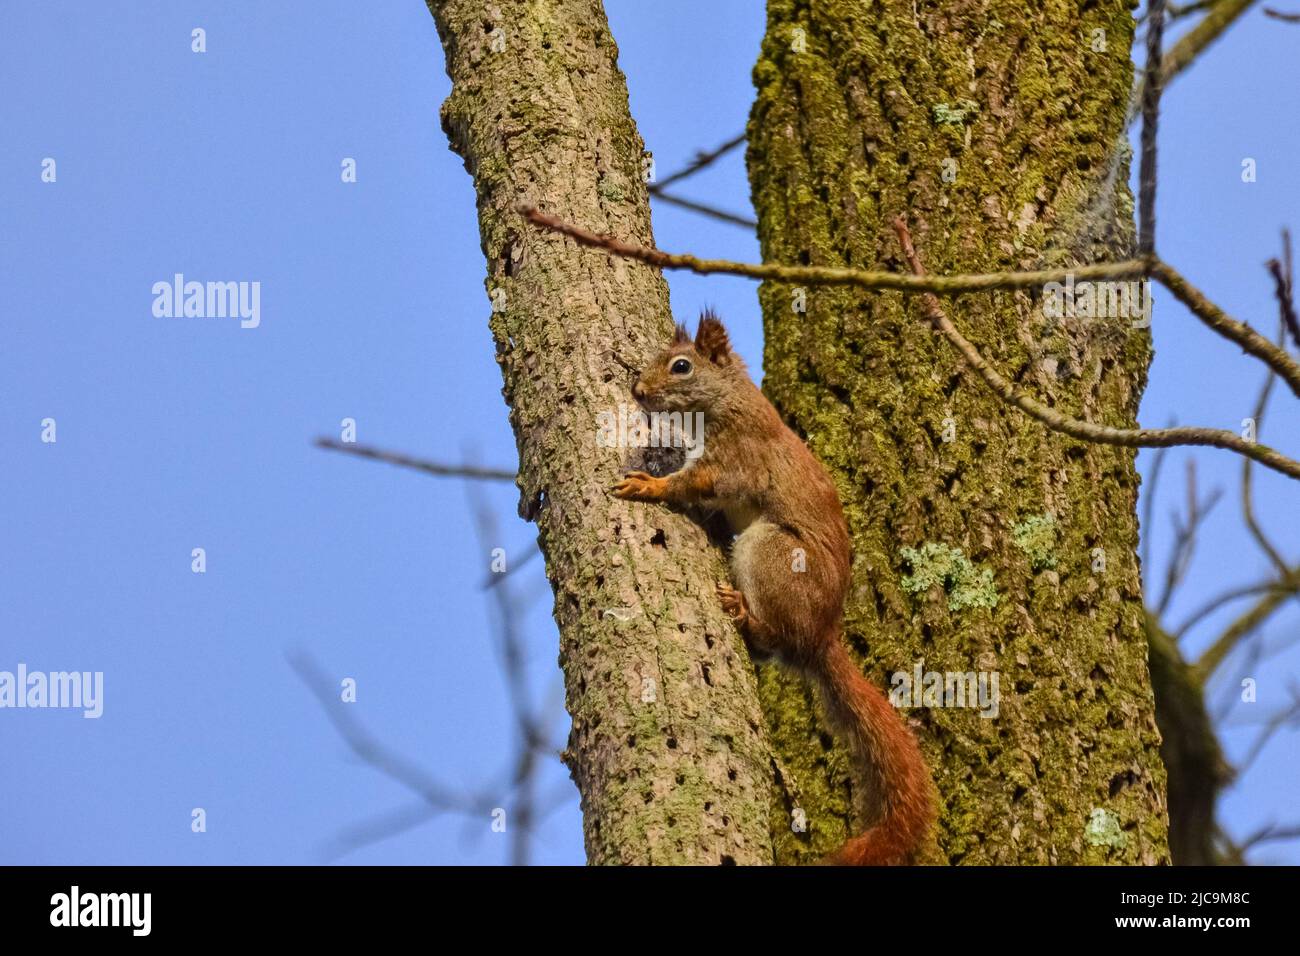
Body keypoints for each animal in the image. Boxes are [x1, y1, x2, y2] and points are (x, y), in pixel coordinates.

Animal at [612, 310, 935, 865]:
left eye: (681, 366)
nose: (638, 390)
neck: (728, 399)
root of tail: (821, 636)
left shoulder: (736, 457)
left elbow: (696, 483)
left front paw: (649, 486)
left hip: (769, 552)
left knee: (777, 636)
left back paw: (745, 614)